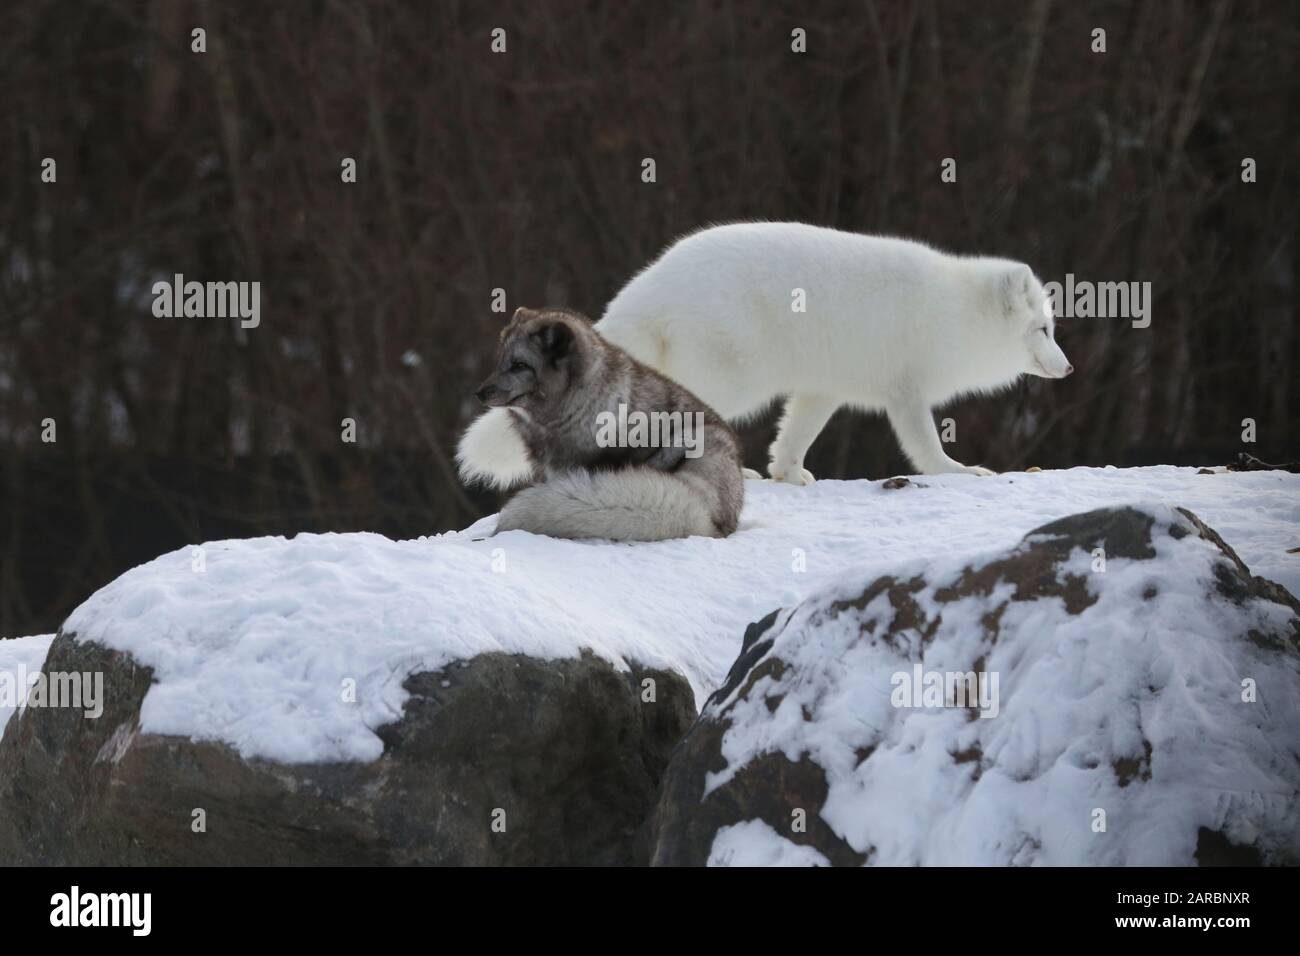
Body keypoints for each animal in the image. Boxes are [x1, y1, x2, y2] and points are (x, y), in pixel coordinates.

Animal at [460, 222, 1073, 485]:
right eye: (1043, 329)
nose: (1067, 367)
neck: (954, 314)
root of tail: (651, 283)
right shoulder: (905, 393)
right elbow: (925, 447)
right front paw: (959, 471)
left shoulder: (823, 388)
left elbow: (795, 433)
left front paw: (789, 472)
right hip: (730, 380)